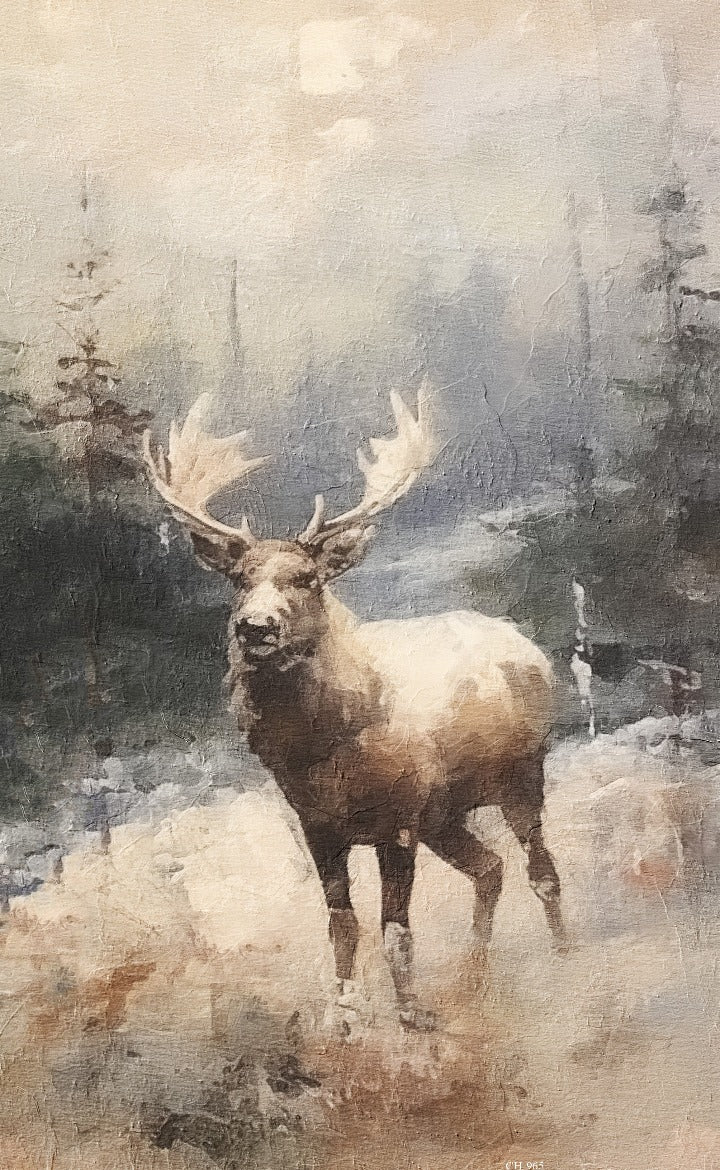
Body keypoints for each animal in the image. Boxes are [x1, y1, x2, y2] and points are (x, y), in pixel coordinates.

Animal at [143, 387, 567, 1032]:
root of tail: (524, 642)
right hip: (445, 813)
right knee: (491, 868)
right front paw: (341, 1016)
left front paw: (412, 1016)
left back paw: (567, 956)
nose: (255, 628)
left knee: (540, 871)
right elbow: (342, 924)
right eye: (239, 578)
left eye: (307, 578)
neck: (325, 750)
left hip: (522, 774)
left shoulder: (397, 822)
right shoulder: (318, 826)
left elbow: (396, 929)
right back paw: (475, 975)